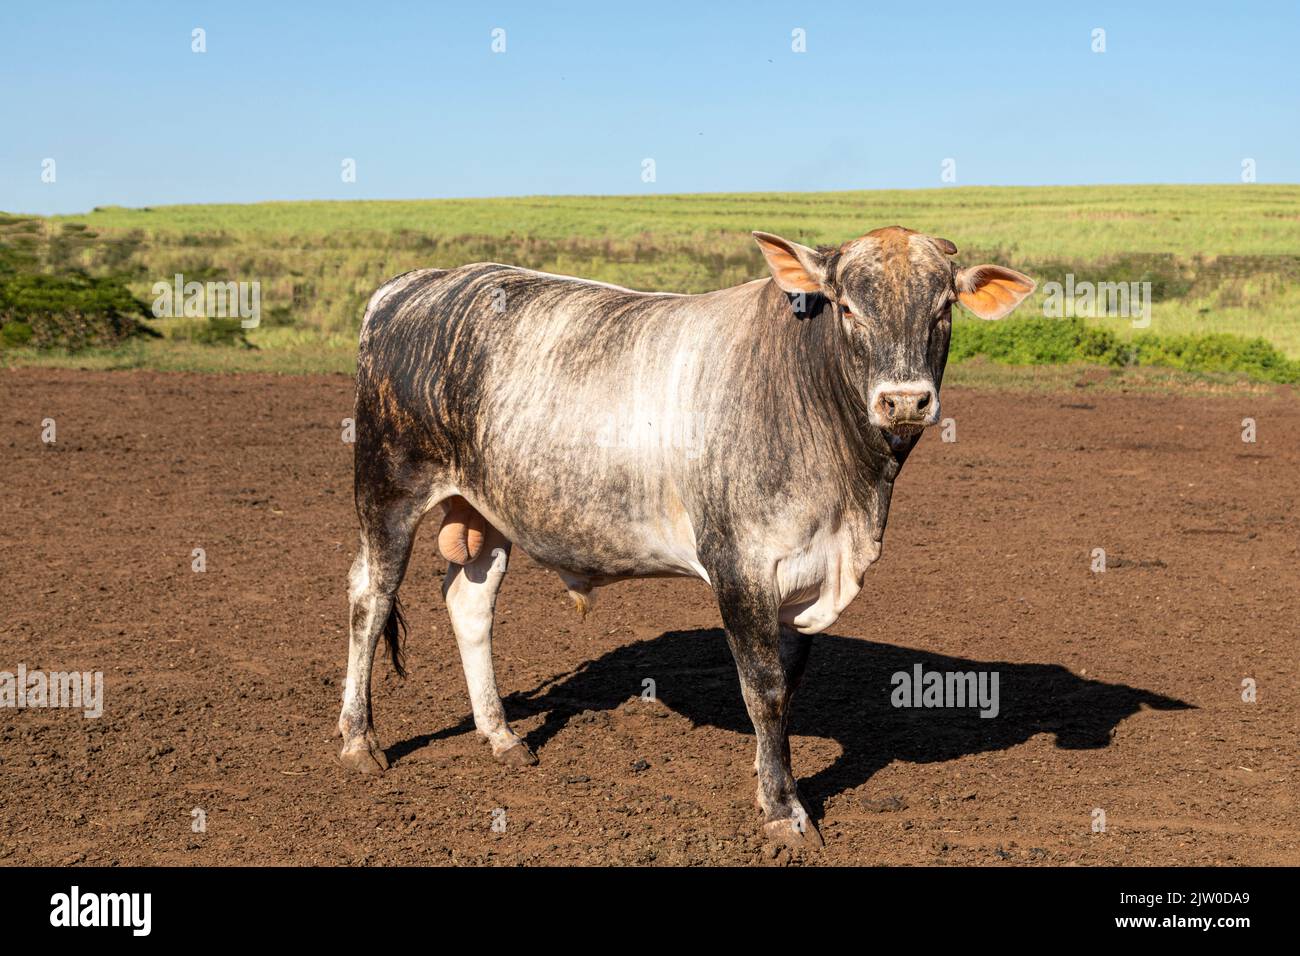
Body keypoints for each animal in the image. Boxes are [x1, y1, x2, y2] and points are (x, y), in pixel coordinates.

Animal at [336, 226, 1035, 848]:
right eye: (846, 306)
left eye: (942, 307)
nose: (904, 401)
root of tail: (414, 284)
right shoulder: (741, 564)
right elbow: (763, 685)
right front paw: (785, 813)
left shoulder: (804, 579)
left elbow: (787, 686)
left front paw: (768, 779)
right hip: (388, 486)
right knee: (370, 598)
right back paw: (359, 739)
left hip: (485, 508)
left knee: (470, 603)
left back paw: (501, 736)